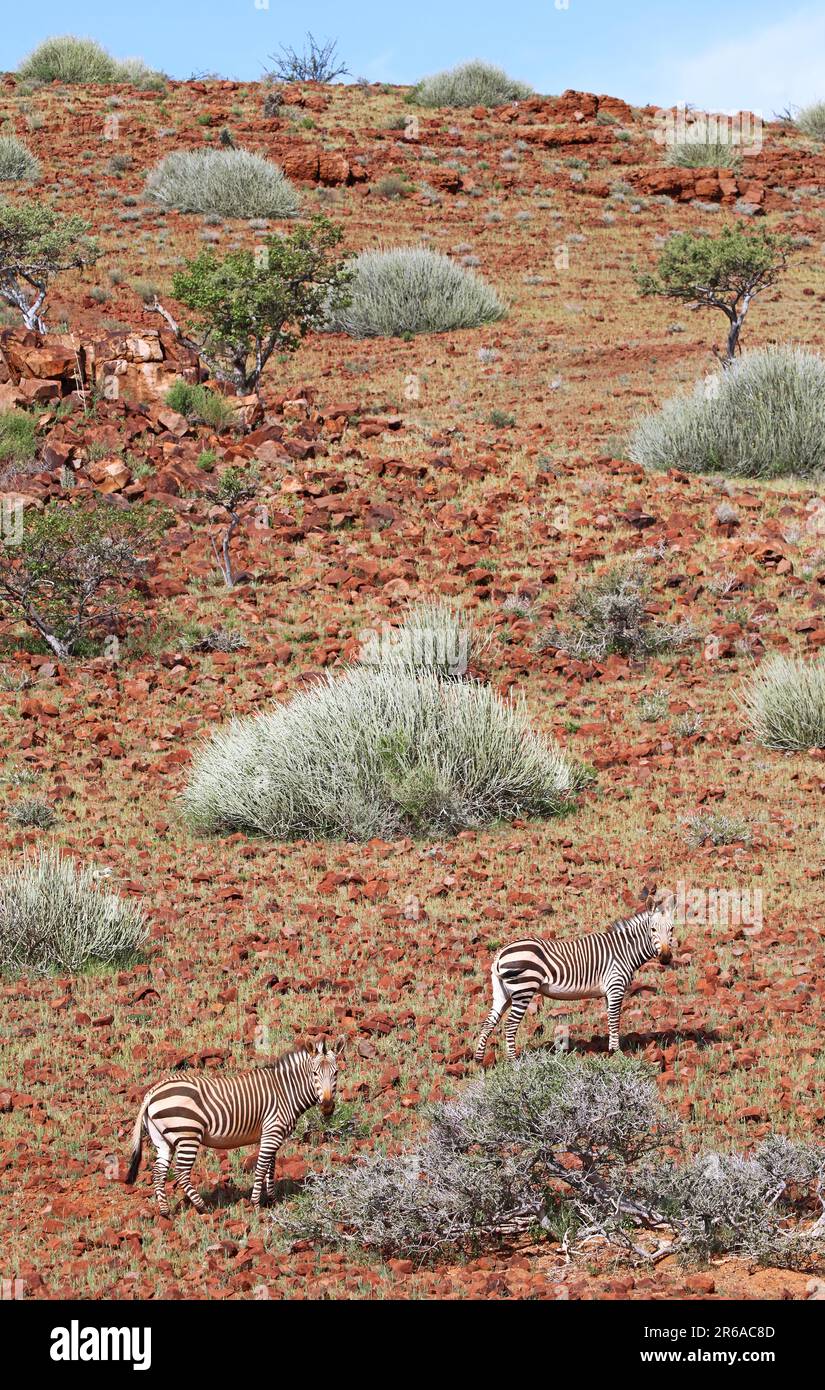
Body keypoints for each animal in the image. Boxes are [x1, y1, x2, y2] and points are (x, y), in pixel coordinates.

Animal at [125, 1039, 343, 1214]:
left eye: (336, 1073)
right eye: (314, 1073)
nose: (327, 1106)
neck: (285, 1092)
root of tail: (152, 1092)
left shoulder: (272, 1135)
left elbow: (270, 1168)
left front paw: (272, 1200)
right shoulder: (272, 1132)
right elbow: (262, 1168)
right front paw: (256, 1204)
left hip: (162, 1140)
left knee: (159, 1172)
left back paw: (164, 1212)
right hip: (187, 1134)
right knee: (180, 1173)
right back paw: (203, 1207)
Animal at [474, 888, 675, 1061]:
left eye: (672, 929)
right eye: (653, 930)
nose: (666, 958)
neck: (624, 950)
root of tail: (500, 954)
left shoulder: (609, 992)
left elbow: (611, 1020)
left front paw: (611, 1050)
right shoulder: (616, 987)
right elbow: (614, 1020)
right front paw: (617, 1053)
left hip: (503, 992)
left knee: (488, 1023)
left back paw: (479, 1060)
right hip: (523, 989)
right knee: (510, 1025)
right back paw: (513, 1061)